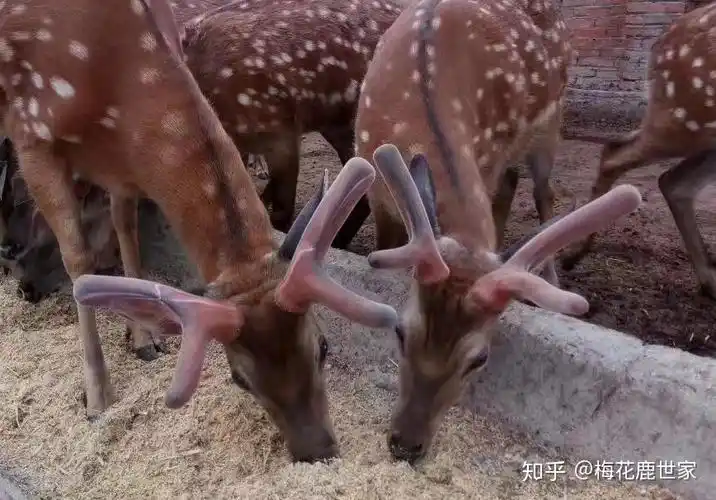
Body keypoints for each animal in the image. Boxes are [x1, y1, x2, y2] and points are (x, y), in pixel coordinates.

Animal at [0, 0, 398, 463]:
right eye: (239, 377)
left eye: (323, 347)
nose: (317, 450)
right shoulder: (32, 136)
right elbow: (80, 259)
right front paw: (98, 397)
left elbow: (125, 226)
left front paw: (144, 339)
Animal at [352, 0, 642, 463]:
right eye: (400, 331)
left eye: (479, 359)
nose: (406, 444)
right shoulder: (378, 195)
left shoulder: (491, 153)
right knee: (514, 186)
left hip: (551, 120)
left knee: (542, 194)